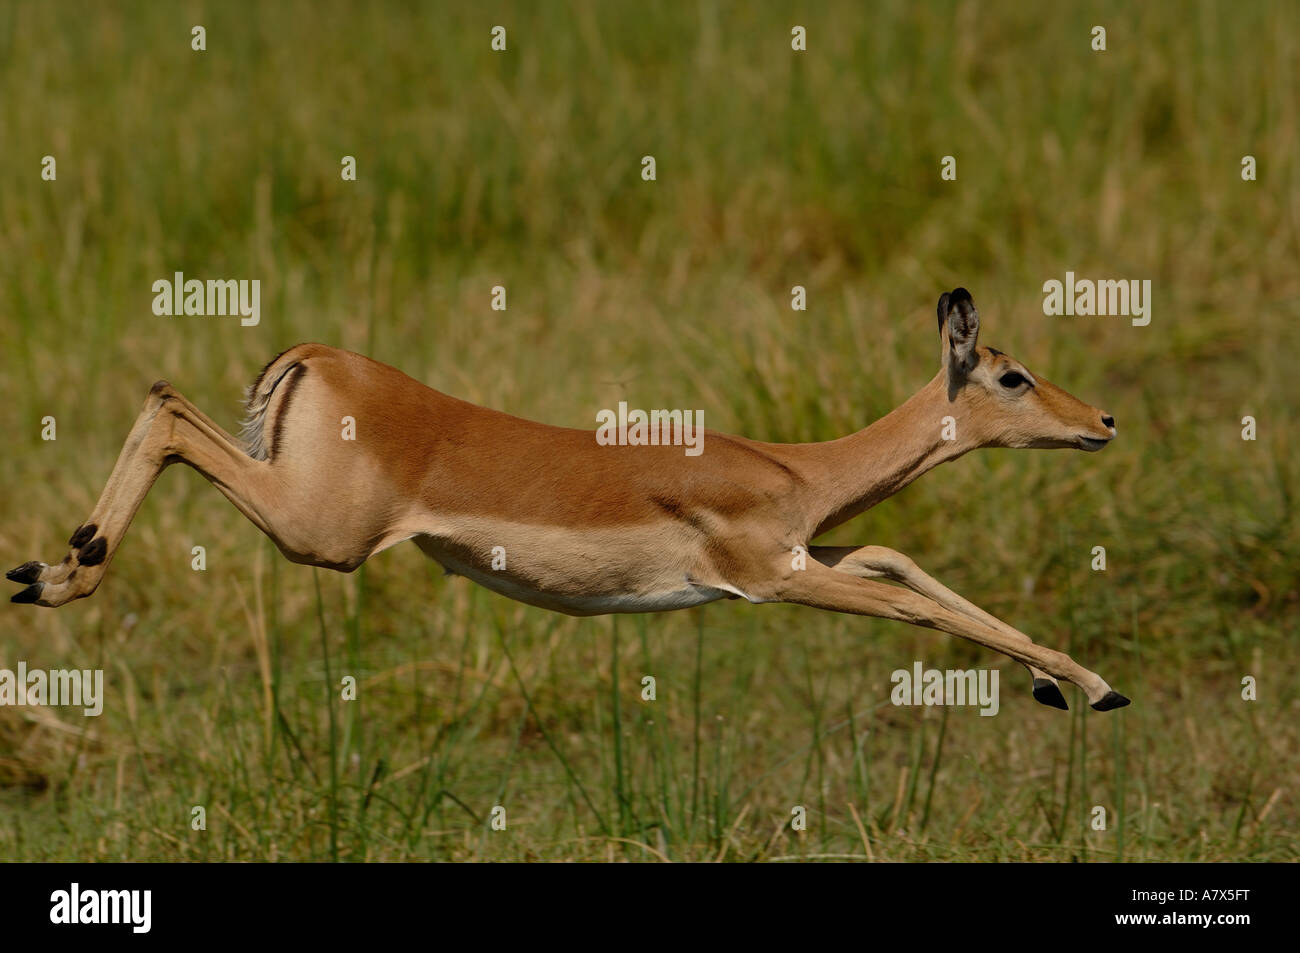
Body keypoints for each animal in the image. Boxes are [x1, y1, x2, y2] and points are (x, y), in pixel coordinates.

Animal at [8, 288, 1130, 711]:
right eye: (1013, 373)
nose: (1105, 421)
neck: (795, 467)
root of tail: (315, 356)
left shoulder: (810, 556)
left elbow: (902, 562)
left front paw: (1078, 681)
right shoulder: (771, 577)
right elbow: (908, 599)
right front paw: (1087, 685)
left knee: (160, 399)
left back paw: (49, 567)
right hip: (319, 533)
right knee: (165, 405)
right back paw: (61, 574)